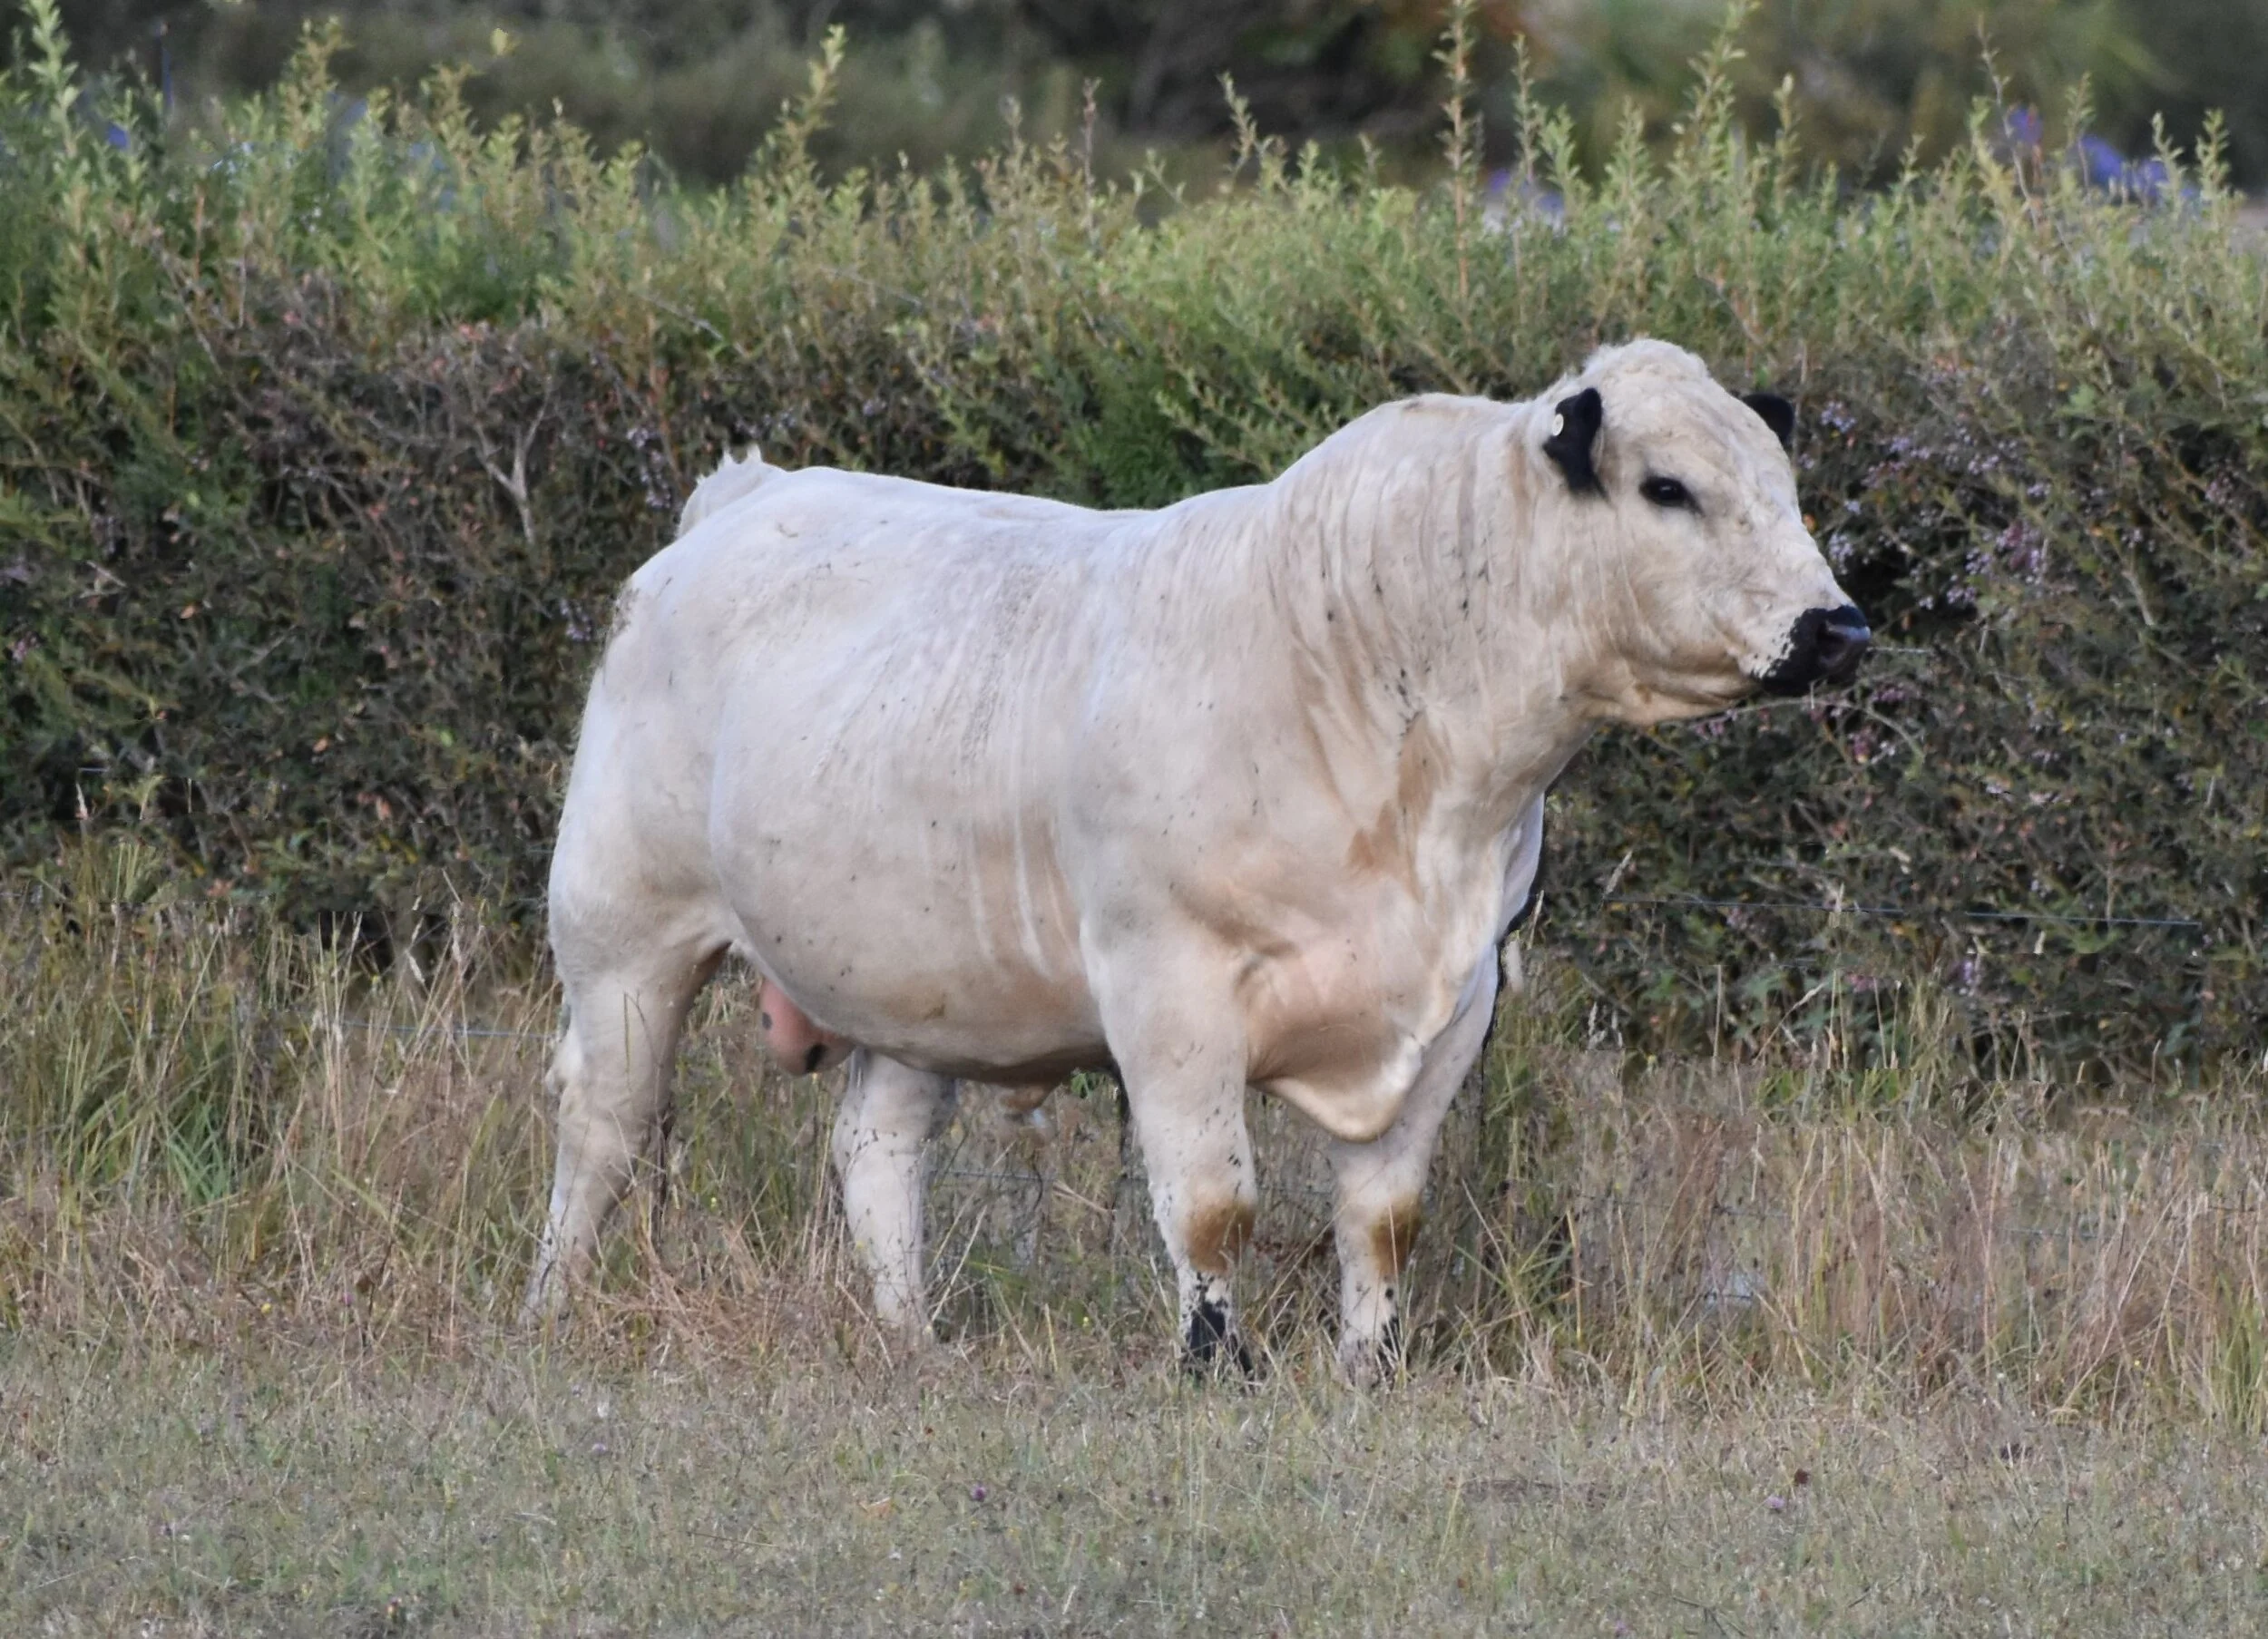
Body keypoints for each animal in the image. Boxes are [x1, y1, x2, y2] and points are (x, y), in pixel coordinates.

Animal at [522, 338, 1869, 1381]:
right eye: (1667, 486)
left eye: (1784, 484)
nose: (1837, 624)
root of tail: (746, 492)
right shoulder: (1171, 991)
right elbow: (1213, 1205)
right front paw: (1219, 1361)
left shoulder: (1459, 998)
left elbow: (1385, 1217)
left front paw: (1368, 1366)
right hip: (623, 937)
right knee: (604, 1125)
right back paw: (555, 1307)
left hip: (918, 985)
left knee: (877, 1153)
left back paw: (913, 1339)